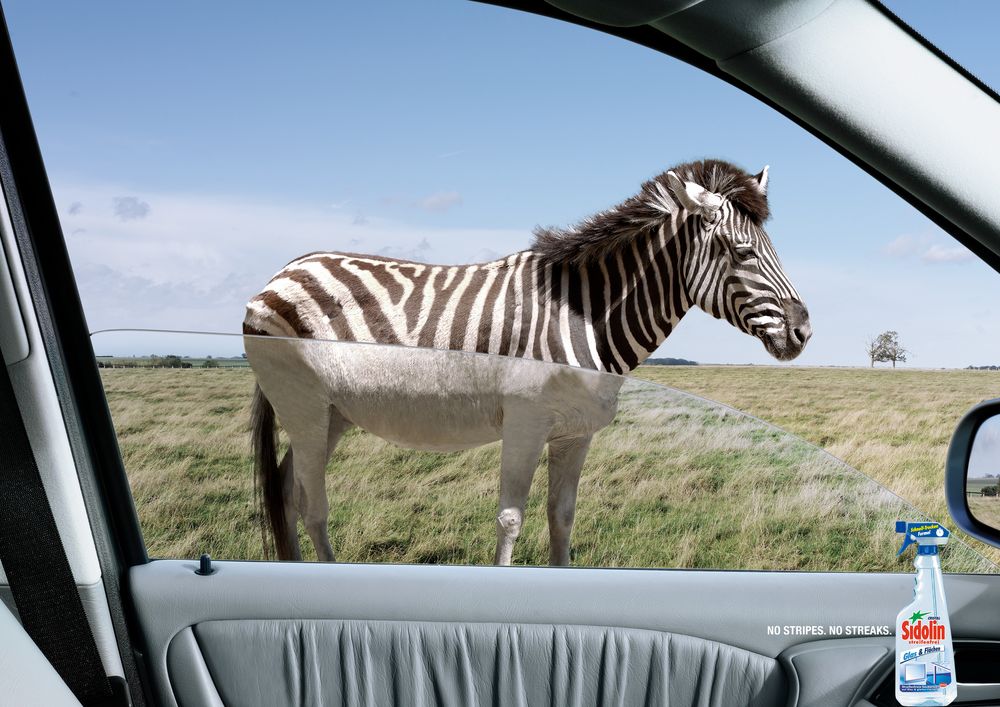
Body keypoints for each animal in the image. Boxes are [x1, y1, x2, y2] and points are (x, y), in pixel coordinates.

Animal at [244, 159, 811, 565]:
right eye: (742, 252)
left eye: (772, 248)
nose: (803, 331)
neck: (585, 317)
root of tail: (283, 269)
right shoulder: (525, 420)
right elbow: (510, 519)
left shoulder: (576, 433)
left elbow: (562, 517)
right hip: (303, 403)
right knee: (311, 503)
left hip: (330, 413)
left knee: (287, 490)